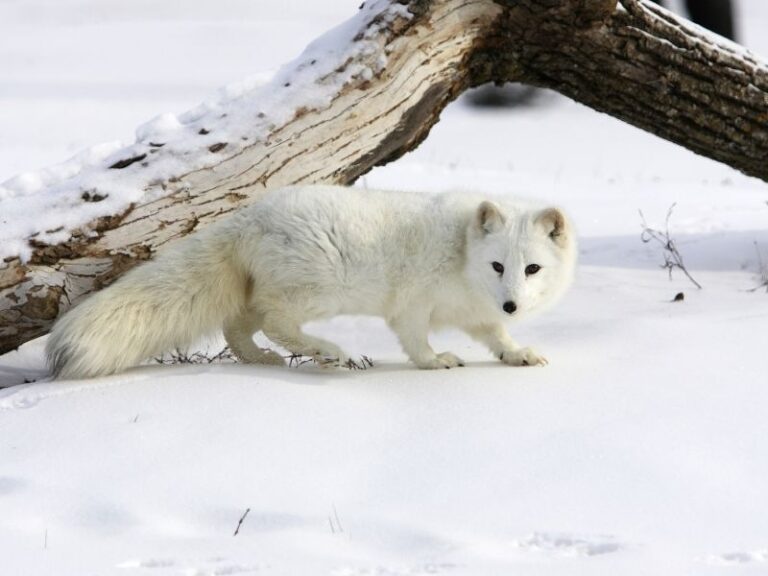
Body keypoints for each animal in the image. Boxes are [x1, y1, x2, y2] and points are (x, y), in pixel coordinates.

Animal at [46, 185, 577, 379]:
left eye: (531, 269)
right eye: (498, 266)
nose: (512, 304)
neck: (462, 256)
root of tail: (248, 216)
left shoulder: (475, 313)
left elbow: (497, 337)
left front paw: (519, 354)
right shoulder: (411, 305)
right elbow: (414, 341)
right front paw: (436, 362)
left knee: (238, 326)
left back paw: (261, 360)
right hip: (319, 290)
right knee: (276, 321)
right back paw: (329, 353)